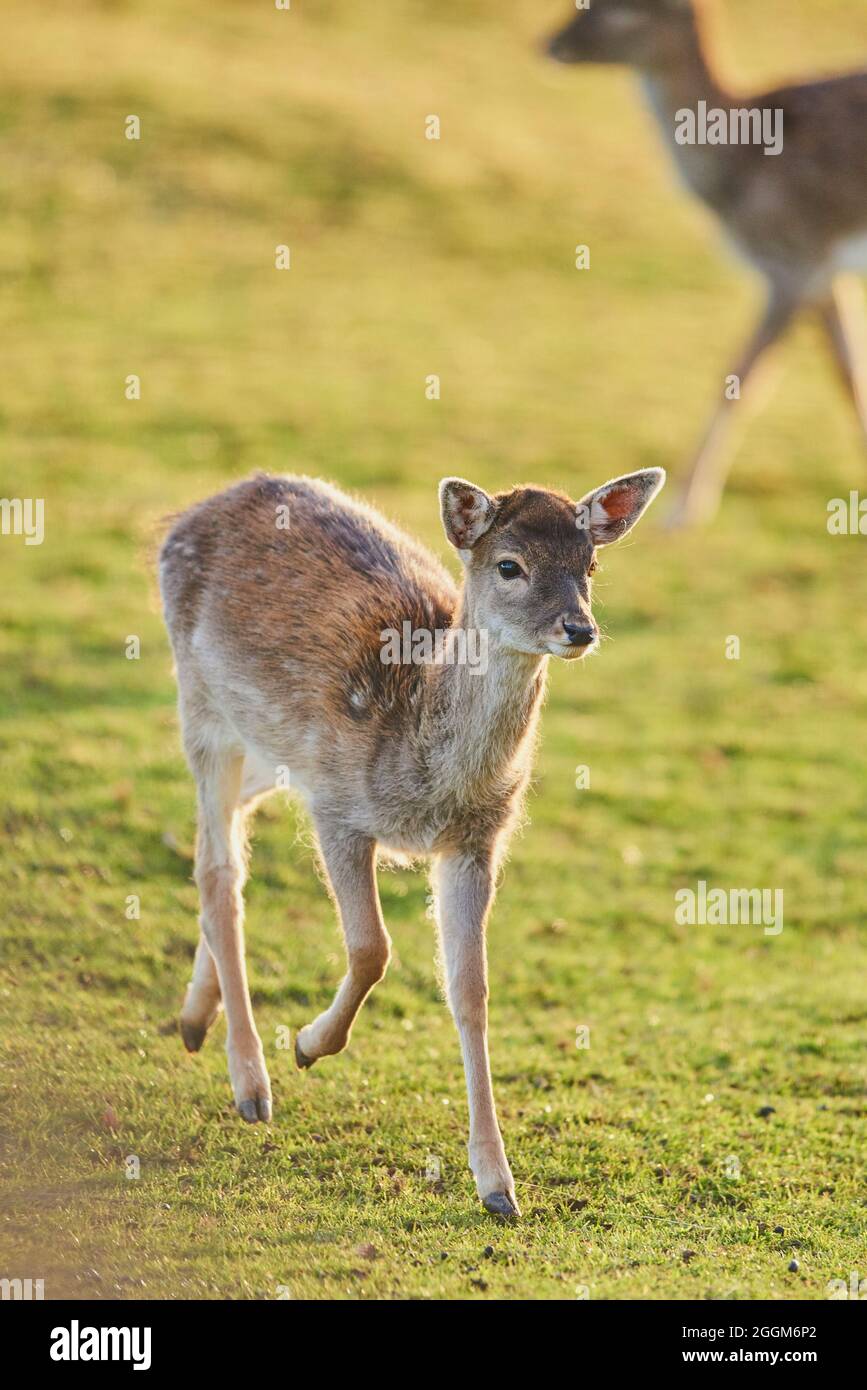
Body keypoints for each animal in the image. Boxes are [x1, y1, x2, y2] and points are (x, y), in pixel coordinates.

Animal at [158, 468, 664, 1217]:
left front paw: (497, 1185)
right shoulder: (337, 806)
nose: (578, 628)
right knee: (217, 871)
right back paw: (251, 1084)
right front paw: (308, 1044)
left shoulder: (477, 840)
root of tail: (196, 510)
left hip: (267, 748)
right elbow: (371, 947)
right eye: (509, 565)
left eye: (590, 566)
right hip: (202, 705)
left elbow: (471, 989)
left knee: (223, 847)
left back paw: (194, 1020)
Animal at [548, 0, 867, 525]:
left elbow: (741, 379)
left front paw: (681, 509)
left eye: (624, 10)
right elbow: (849, 371)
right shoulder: (818, 269)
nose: (550, 43)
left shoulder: (792, 259)